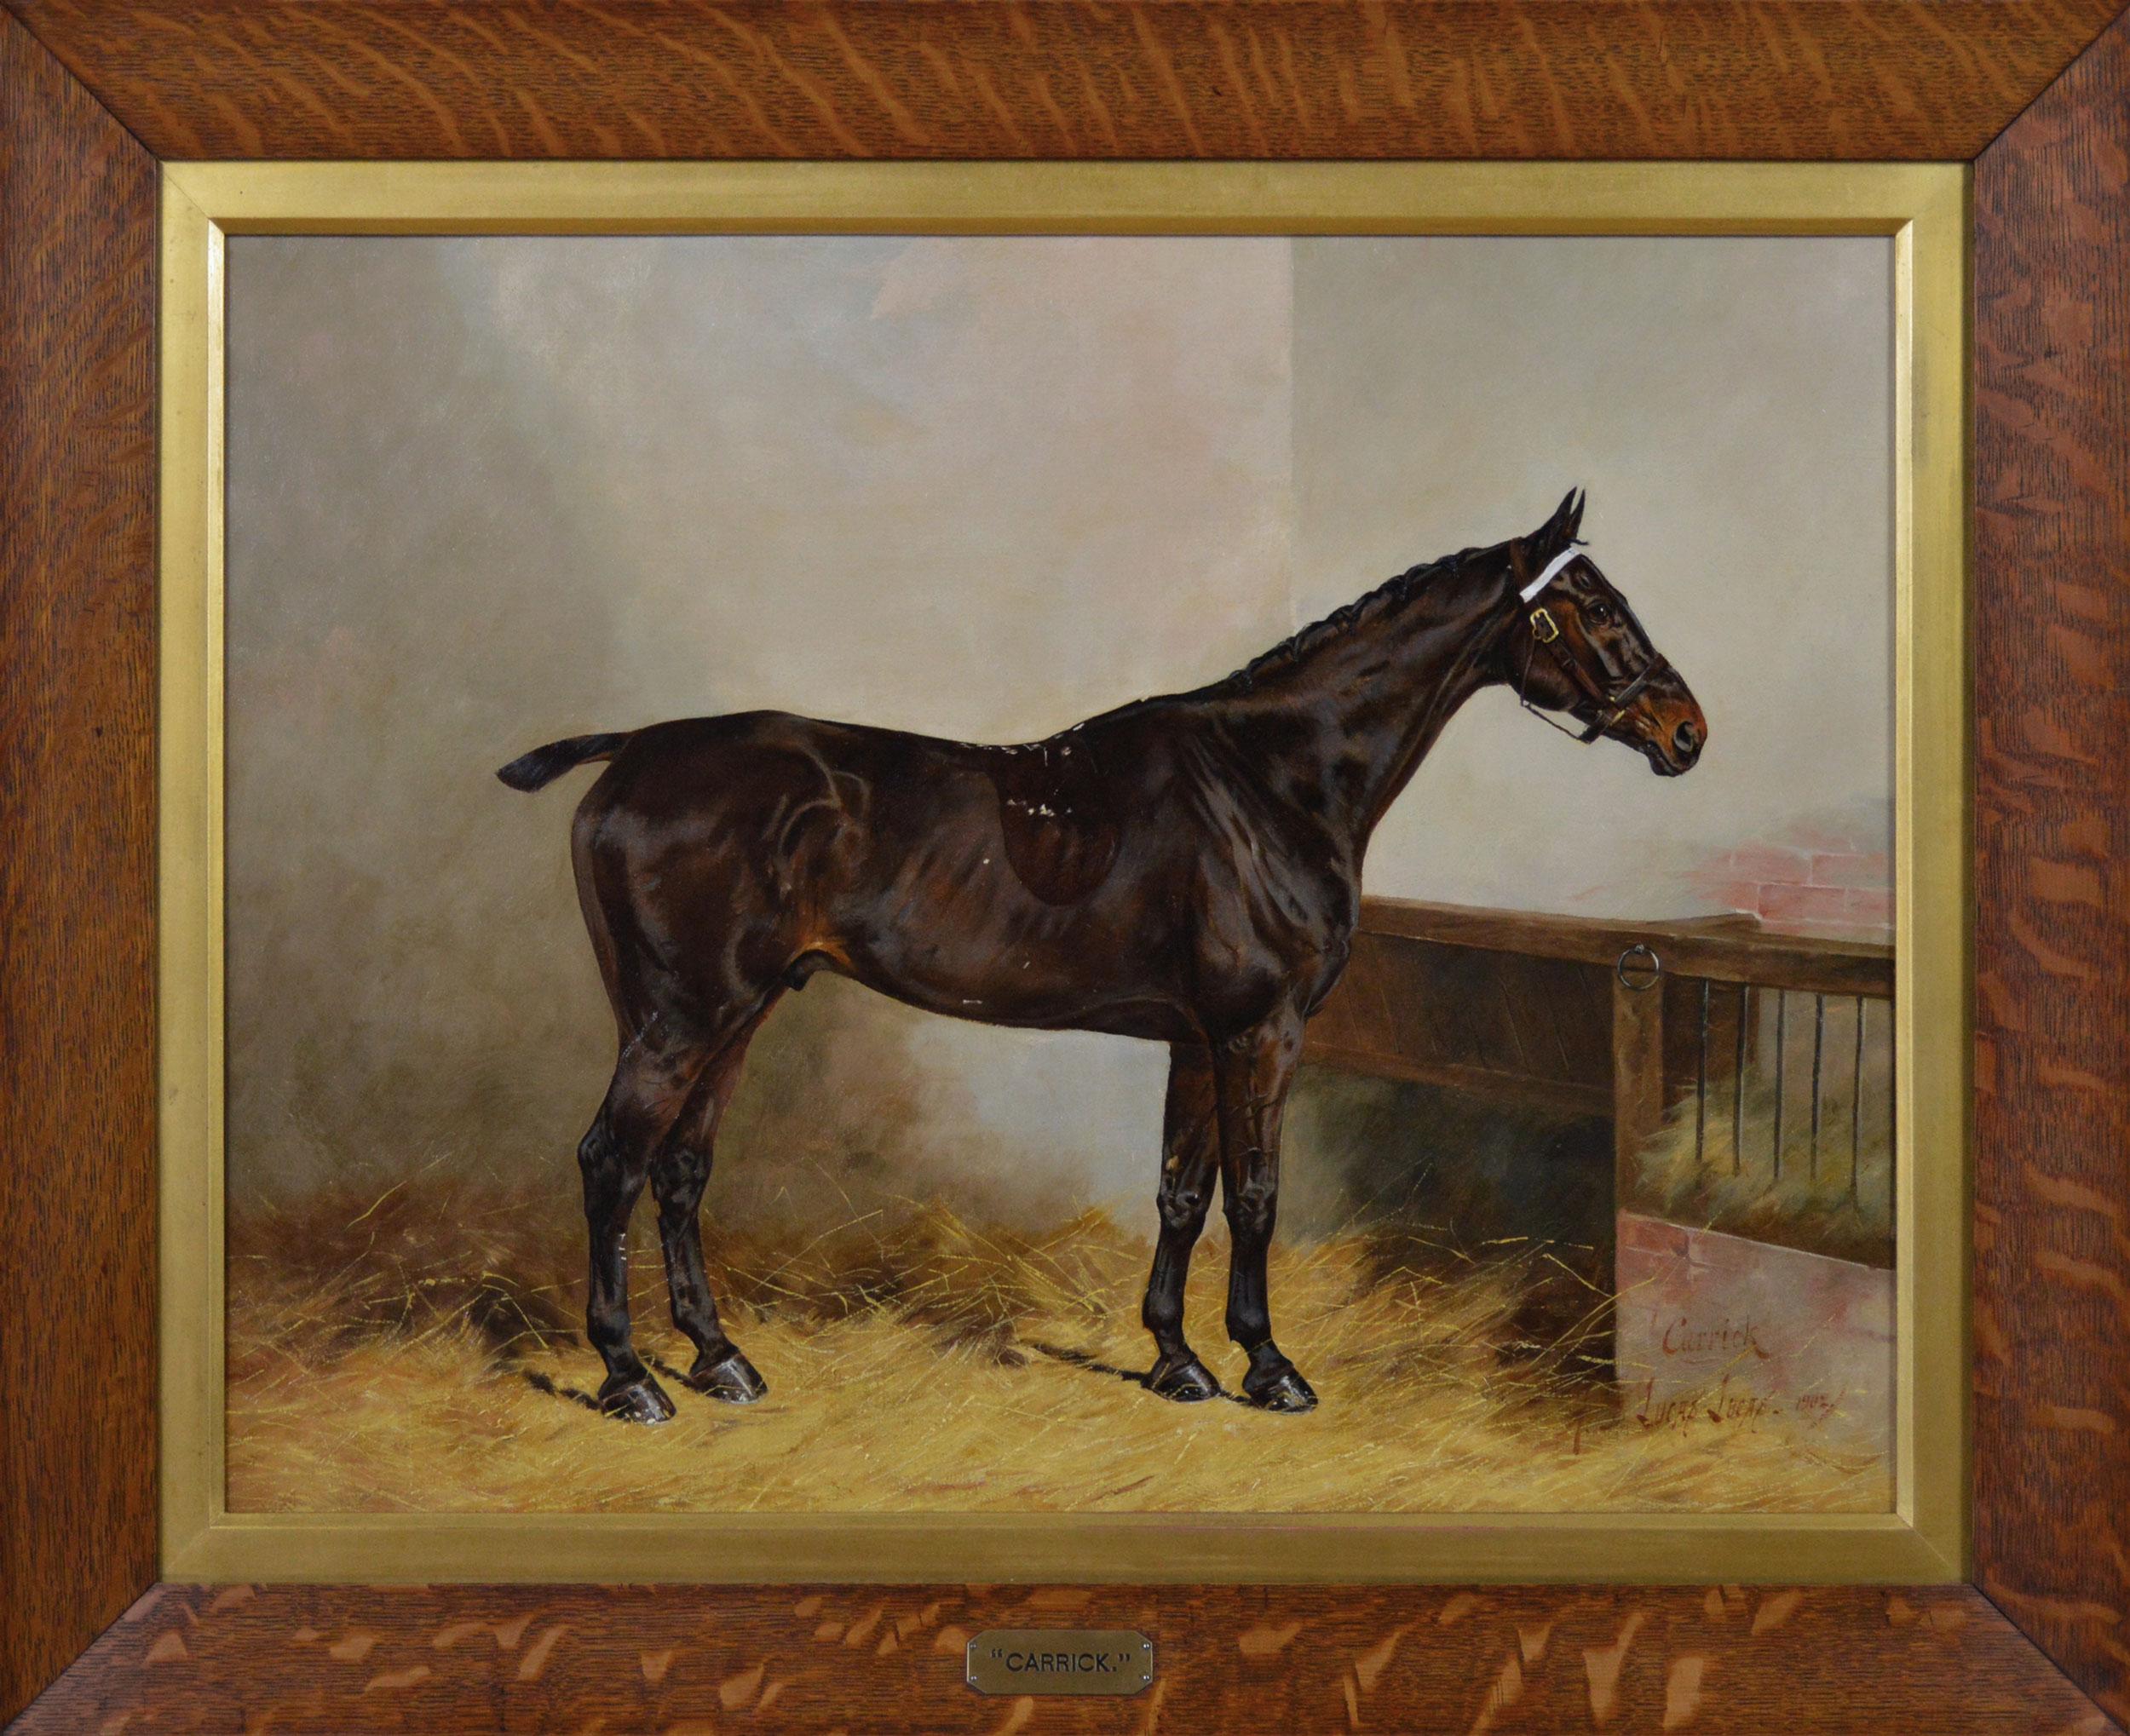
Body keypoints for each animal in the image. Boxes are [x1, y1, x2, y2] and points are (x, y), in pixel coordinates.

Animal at [497, 489, 1706, 1423]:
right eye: (1595, 606)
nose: (1686, 731)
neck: (1267, 782)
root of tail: (632, 752)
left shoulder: (1195, 1039)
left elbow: (1180, 1190)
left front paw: (1176, 1360)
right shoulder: (1259, 1032)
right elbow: (1255, 1194)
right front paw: (1269, 1367)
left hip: (736, 1015)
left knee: (679, 1172)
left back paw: (719, 1360)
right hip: (682, 1018)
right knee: (611, 1162)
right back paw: (628, 1378)